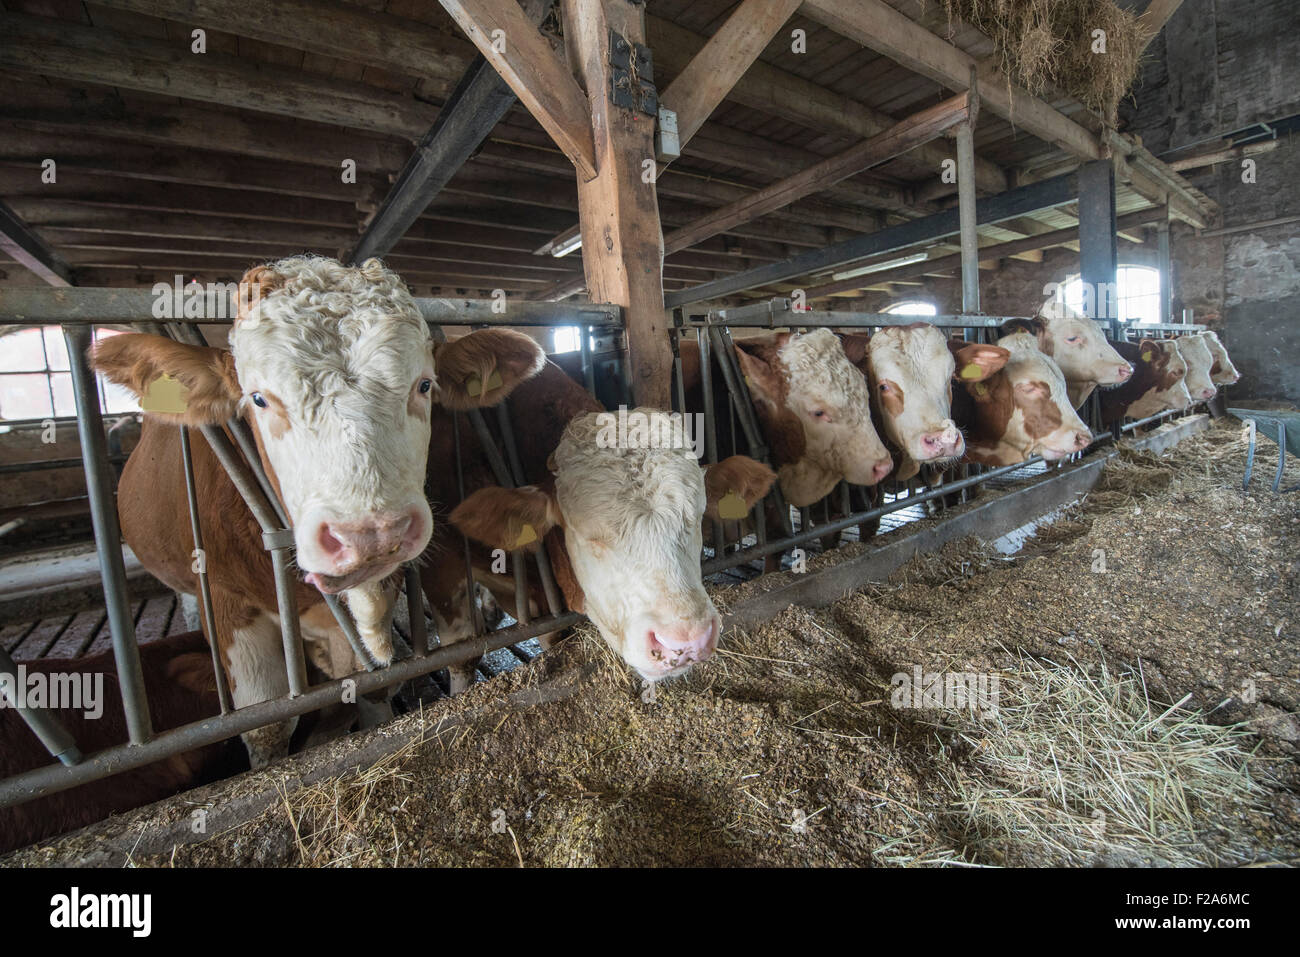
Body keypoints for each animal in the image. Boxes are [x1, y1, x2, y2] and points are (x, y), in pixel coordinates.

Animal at [93, 256, 545, 765]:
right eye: (258, 398)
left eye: (424, 384)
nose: (372, 534)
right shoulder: (233, 608)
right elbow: (267, 727)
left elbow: (373, 688)